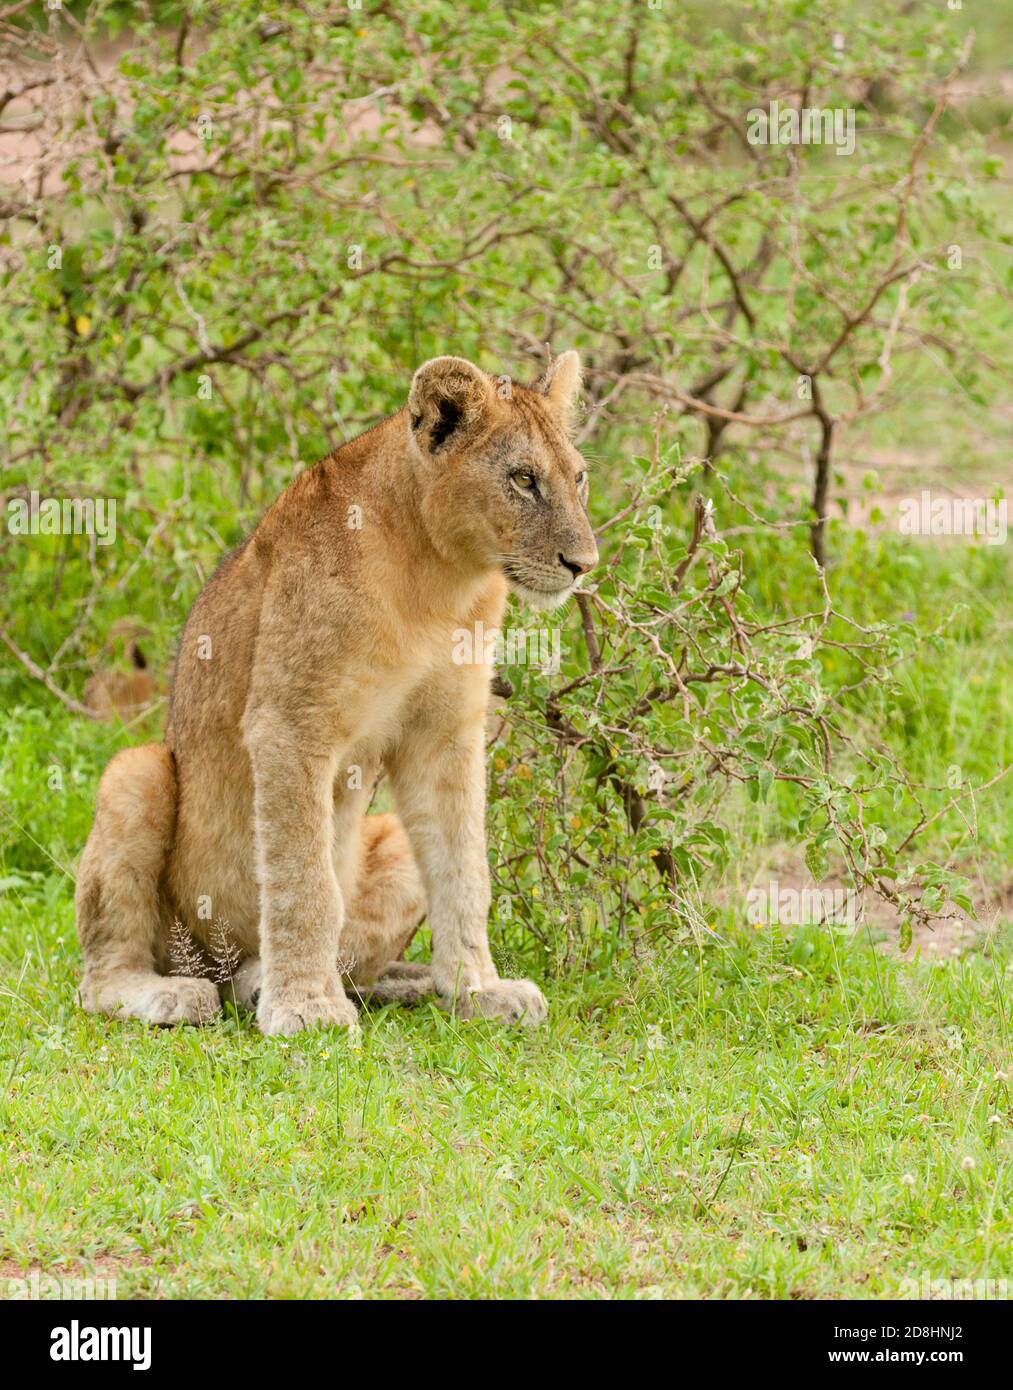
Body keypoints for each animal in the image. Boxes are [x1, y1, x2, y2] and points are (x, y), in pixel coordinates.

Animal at [74, 351, 597, 1035]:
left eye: (578, 478)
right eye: (523, 479)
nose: (584, 564)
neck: (440, 579)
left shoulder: (445, 733)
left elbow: (465, 871)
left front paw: (480, 990)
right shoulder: (290, 725)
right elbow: (304, 880)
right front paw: (305, 1006)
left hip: (391, 840)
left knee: (358, 954)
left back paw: (383, 984)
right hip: (137, 774)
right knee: (102, 975)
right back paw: (182, 992)